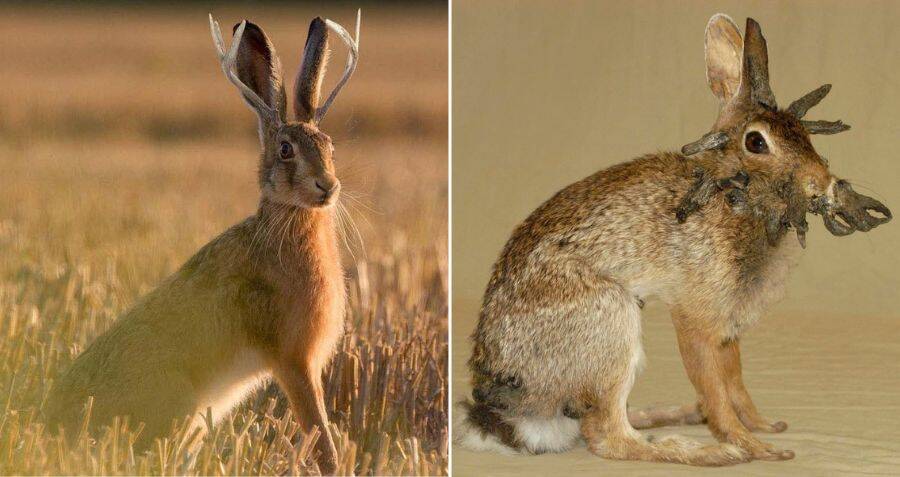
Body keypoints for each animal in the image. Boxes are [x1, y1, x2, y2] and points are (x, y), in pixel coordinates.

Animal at [43, 12, 361, 475]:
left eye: (330, 147)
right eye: (286, 150)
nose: (328, 187)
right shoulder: (292, 359)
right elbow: (319, 434)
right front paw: (337, 466)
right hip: (178, 405)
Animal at [455, 14, 891, 467]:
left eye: (806, 135)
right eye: (756, 142)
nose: (821, 182)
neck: (731, 195)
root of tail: (514, 413)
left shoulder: (728, 330)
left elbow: (735, 381)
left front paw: (763, 427)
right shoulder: (696, 317)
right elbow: (715, 388)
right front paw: (755, 447)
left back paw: (681, 417)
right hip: (611, 321)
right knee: (606, 434)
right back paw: (707, 452)